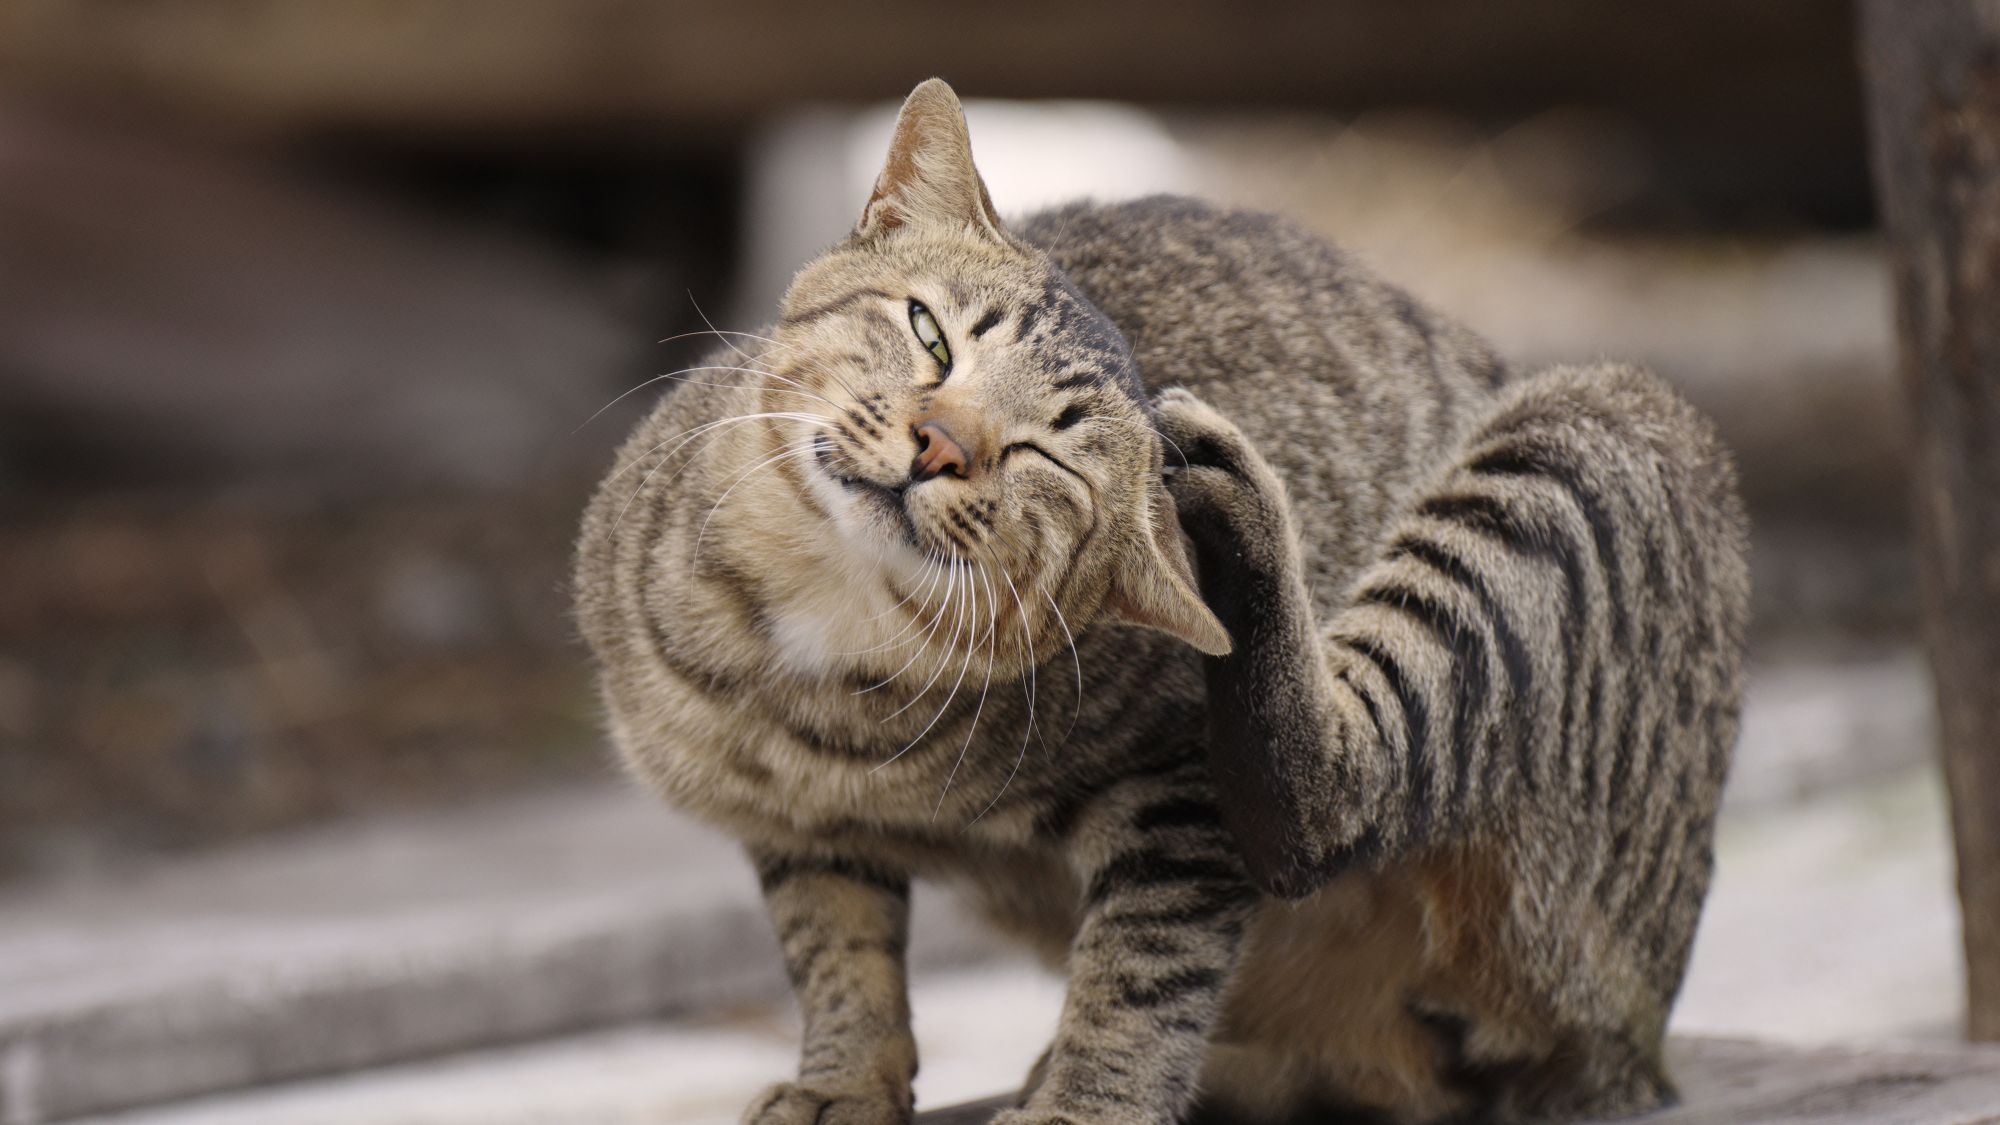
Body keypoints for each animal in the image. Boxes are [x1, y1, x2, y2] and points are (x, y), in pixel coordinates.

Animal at [576, 81, 1752, 1120]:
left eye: (1046, 458)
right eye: (929, 332)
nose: (939, 443)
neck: (807, 653)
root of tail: (1641, 1052)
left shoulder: (1177, 799)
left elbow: (1139, 977)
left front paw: (1082, 1109)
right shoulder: (797, 830)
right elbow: (839, 958)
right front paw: (842, 1084)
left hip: (1587, 429)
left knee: (1326, 807)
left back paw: (1245, 516)